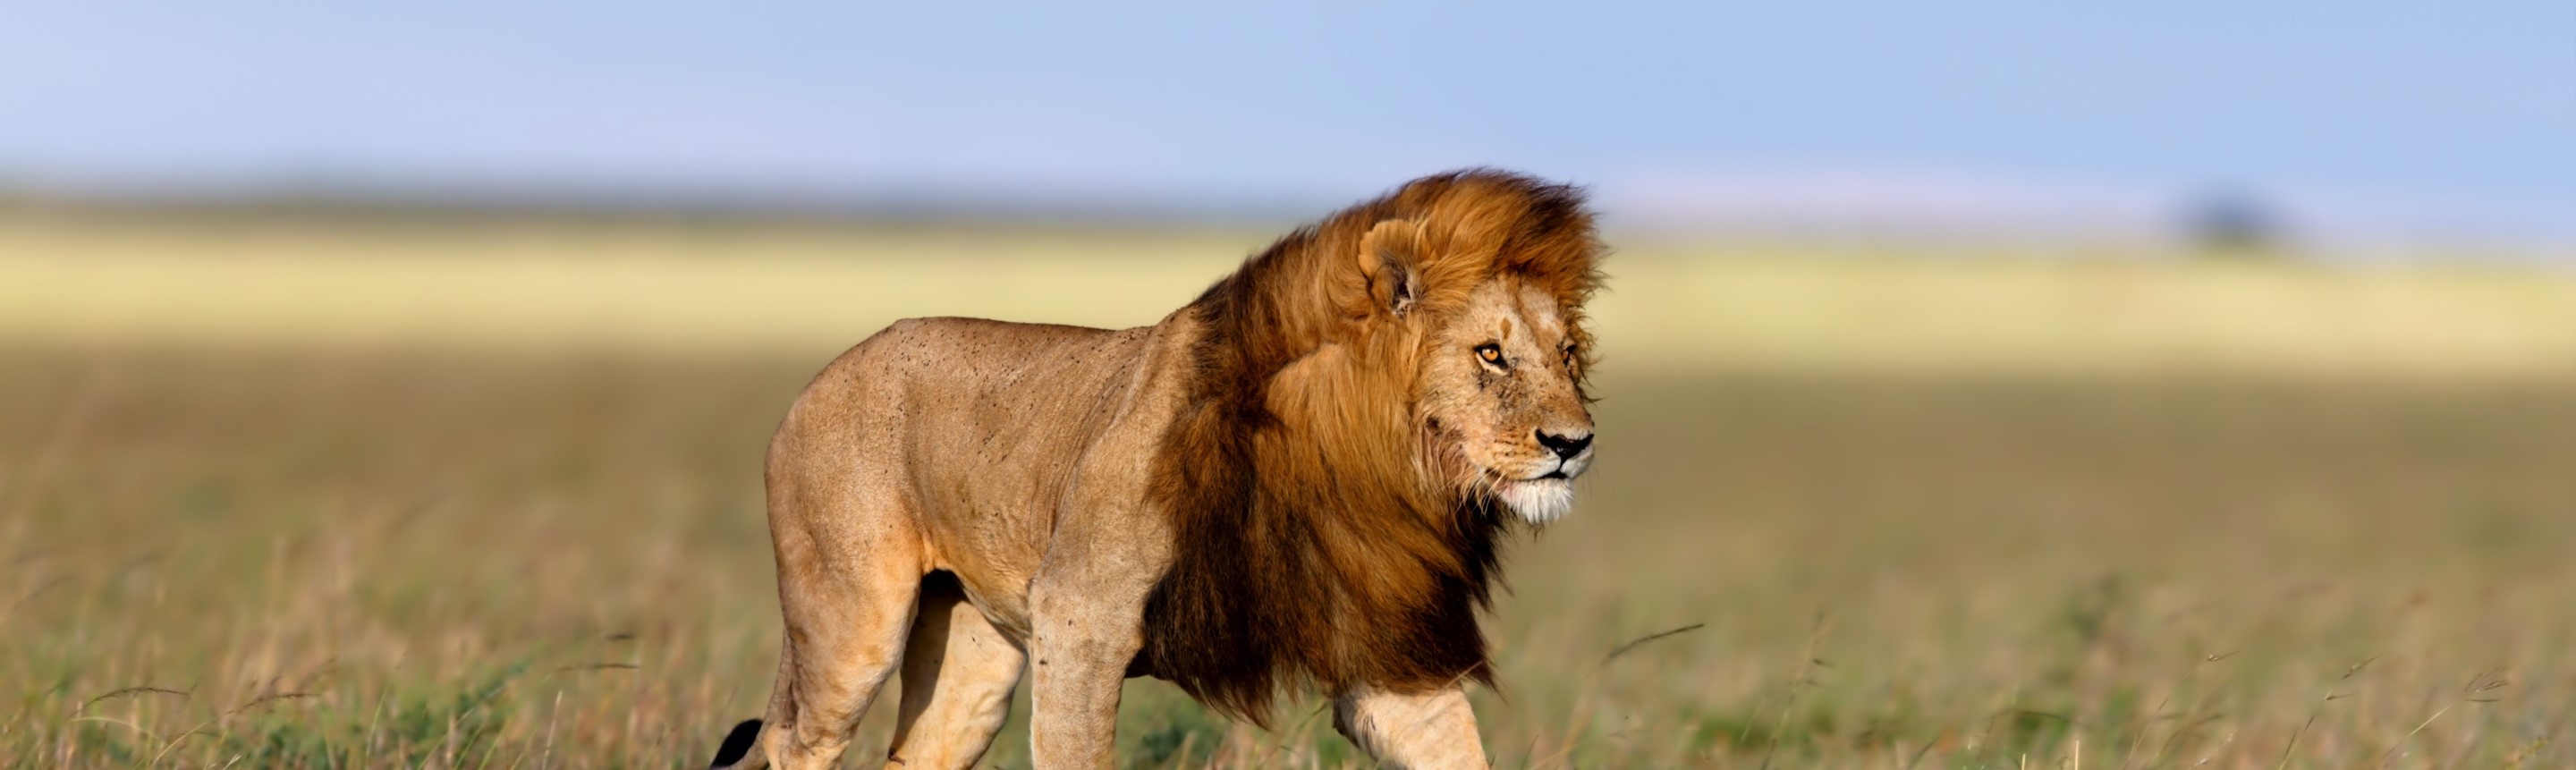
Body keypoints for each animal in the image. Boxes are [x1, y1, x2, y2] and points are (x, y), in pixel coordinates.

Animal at [707, 170, 1606, 770]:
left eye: (1566, 355)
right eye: (1490, 354)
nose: (1575, 442)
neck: (1359, 463)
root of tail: (821, 376)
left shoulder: (1379, 644)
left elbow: (1453, 745)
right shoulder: (1079, 615)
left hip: (974, 650)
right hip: (850, 622)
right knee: (795, 743)